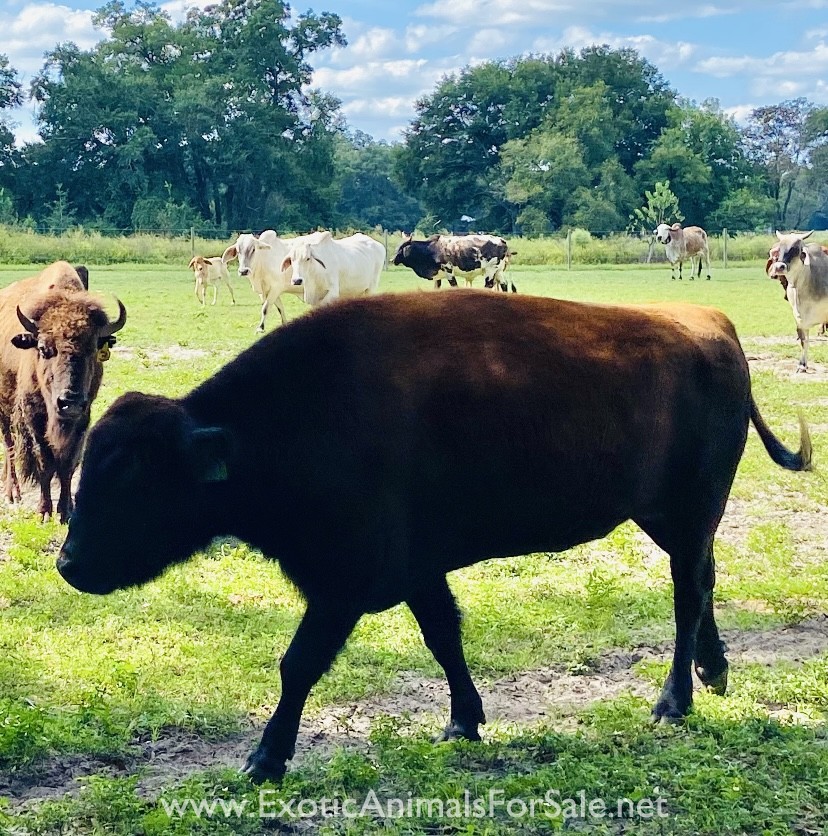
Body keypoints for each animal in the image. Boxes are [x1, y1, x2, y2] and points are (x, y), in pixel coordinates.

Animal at [0, 261, 126, 522]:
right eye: (43, 348)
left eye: (92, 348)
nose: (70, 401)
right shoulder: (34, 416)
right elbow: (45, 463)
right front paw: (44, 512)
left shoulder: (83, 416)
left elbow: (68, 464)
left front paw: (66, 510)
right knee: (8, 445)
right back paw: (12, 493)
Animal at [56, 291, 812, 784]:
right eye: (92, 464)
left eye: (136, 478)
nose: (69, 564)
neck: (268, 429)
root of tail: (713, 326)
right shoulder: (416, 571)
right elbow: (444, 637)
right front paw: (462, 722)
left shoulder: (344, 585)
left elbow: (298, 665)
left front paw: (265, 760)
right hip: (672, 520)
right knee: (704, 581)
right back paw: (714, 673)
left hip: (688, 512)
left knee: (686, 597)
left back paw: (674, 702)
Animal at [767, 231, 828, 371]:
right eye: (779, 250)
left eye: (795, 249)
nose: (779, 267)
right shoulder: (799, 319)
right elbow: (803, 340)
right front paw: (802, 365)